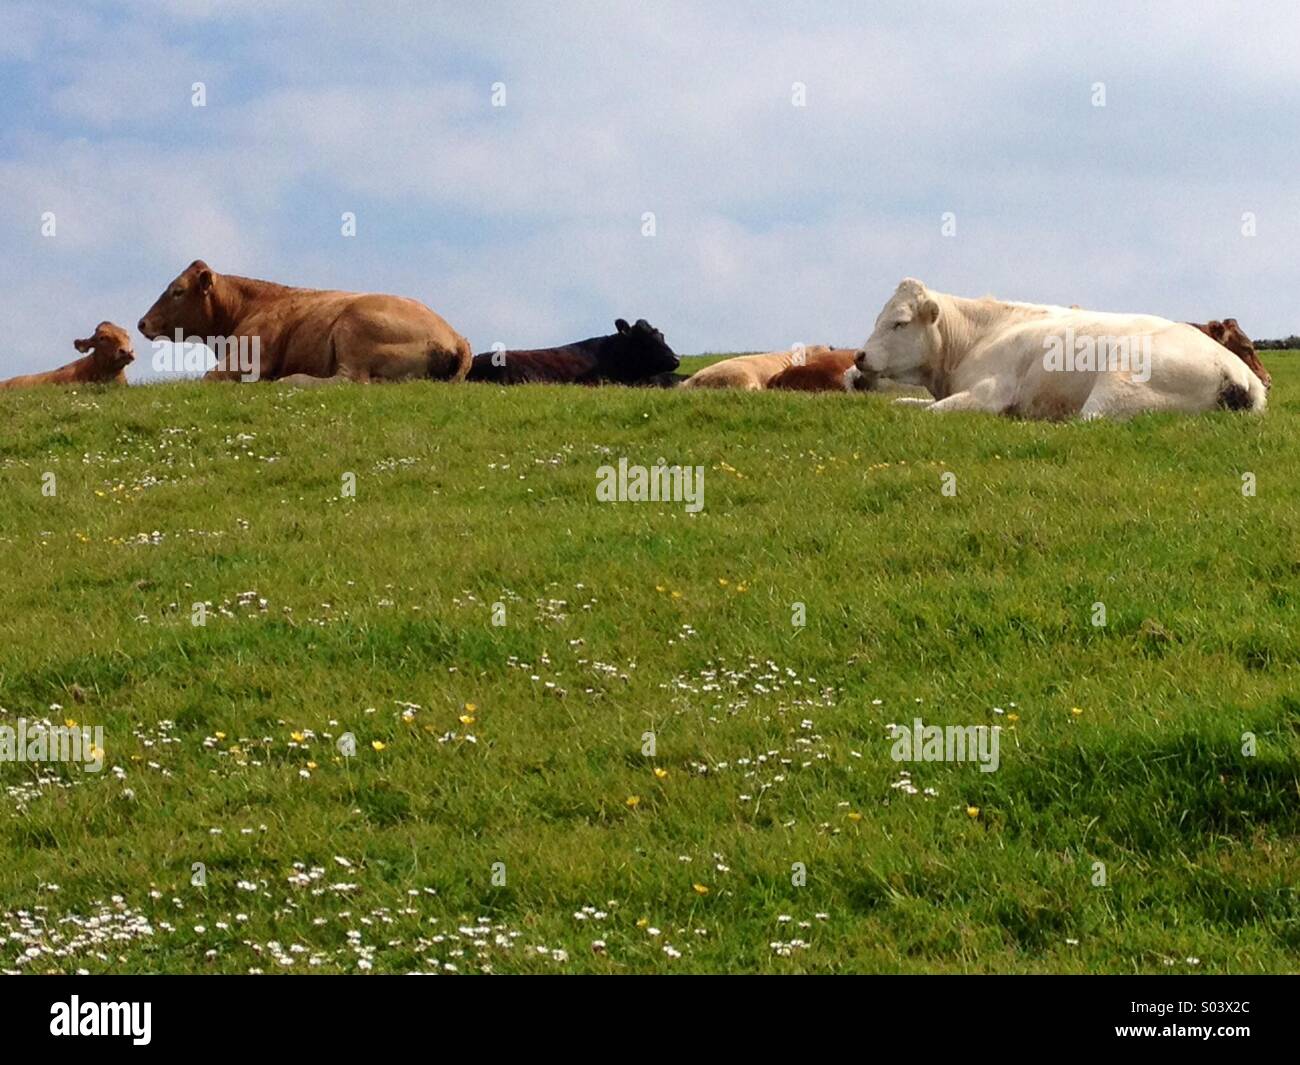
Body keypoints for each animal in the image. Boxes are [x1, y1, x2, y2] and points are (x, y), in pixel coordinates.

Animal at [137, 260, 471, 383]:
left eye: (178, 291)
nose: (142, 323)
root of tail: (455, 335)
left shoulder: (249, 358)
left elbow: (209, 377)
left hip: (352, 327)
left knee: (349, 380)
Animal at [853, 278, 1266, 419]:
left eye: (900, 322)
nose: (859, 356)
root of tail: (1239, 372)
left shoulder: (988, 394)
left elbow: (931, 412)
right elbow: (905, 403)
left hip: (1117, 383)